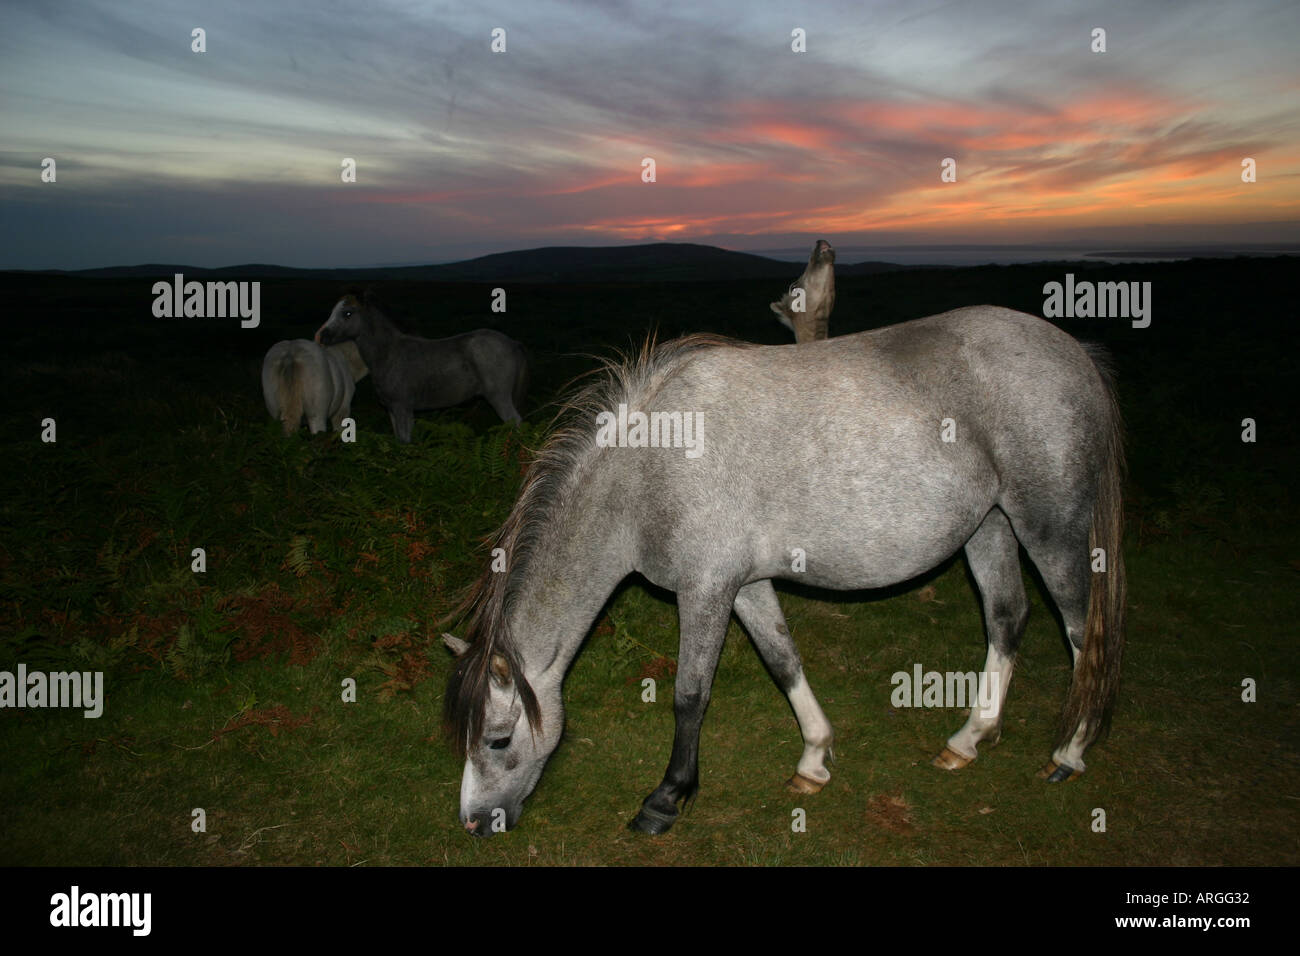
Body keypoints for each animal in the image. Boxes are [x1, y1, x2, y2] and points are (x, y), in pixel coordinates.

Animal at [315, 290, 528, 443]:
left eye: (347, 313)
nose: (321, 337)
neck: (389, 354)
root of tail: (512, 343)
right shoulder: (394, 411)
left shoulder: (402, 408)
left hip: (499, 397)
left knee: (516, 423)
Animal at [443, 305, 1126, 836]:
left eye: (498, 739)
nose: (475, 823)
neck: (648, 468)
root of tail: (1075, 353)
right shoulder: (744, 586)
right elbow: (783, 659)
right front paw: (814, 758)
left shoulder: (705, 591)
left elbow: (690, 695)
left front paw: (667, 798)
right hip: (989, 526)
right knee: (1008, 617)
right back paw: (970, 739)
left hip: (1050, 528)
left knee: (1081, 630)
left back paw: (1069, 751)